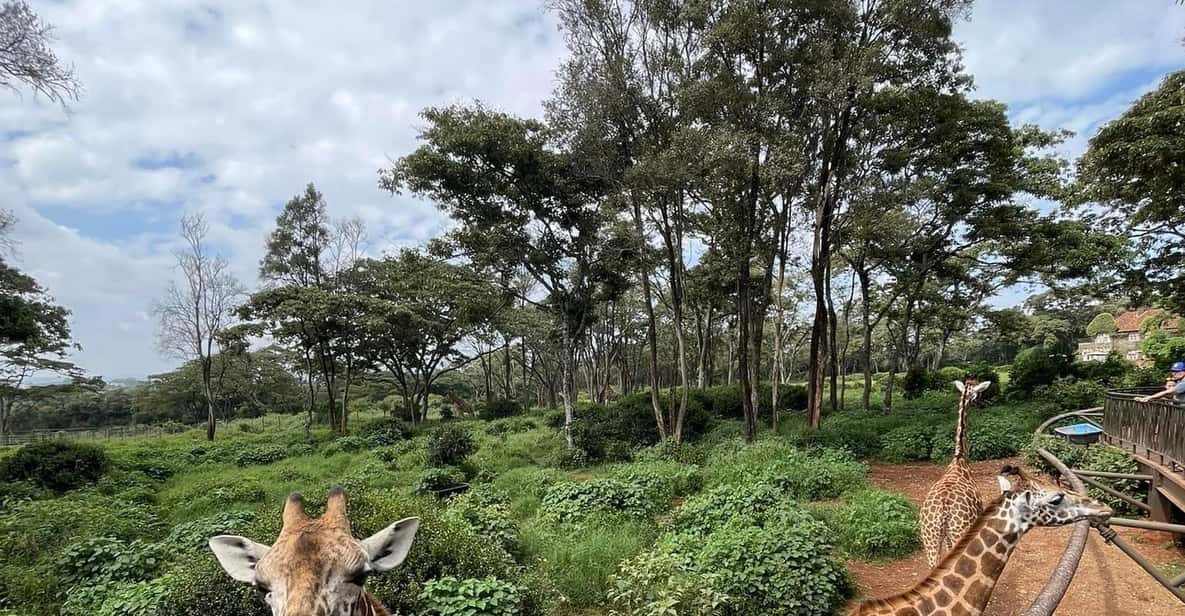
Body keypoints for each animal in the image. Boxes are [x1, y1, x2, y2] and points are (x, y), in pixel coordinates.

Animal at [919, 377, 992, 566]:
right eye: (979, 394)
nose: (984, 404)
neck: (960, 458)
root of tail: (943, 511)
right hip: (959, 531)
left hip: (930, 538)